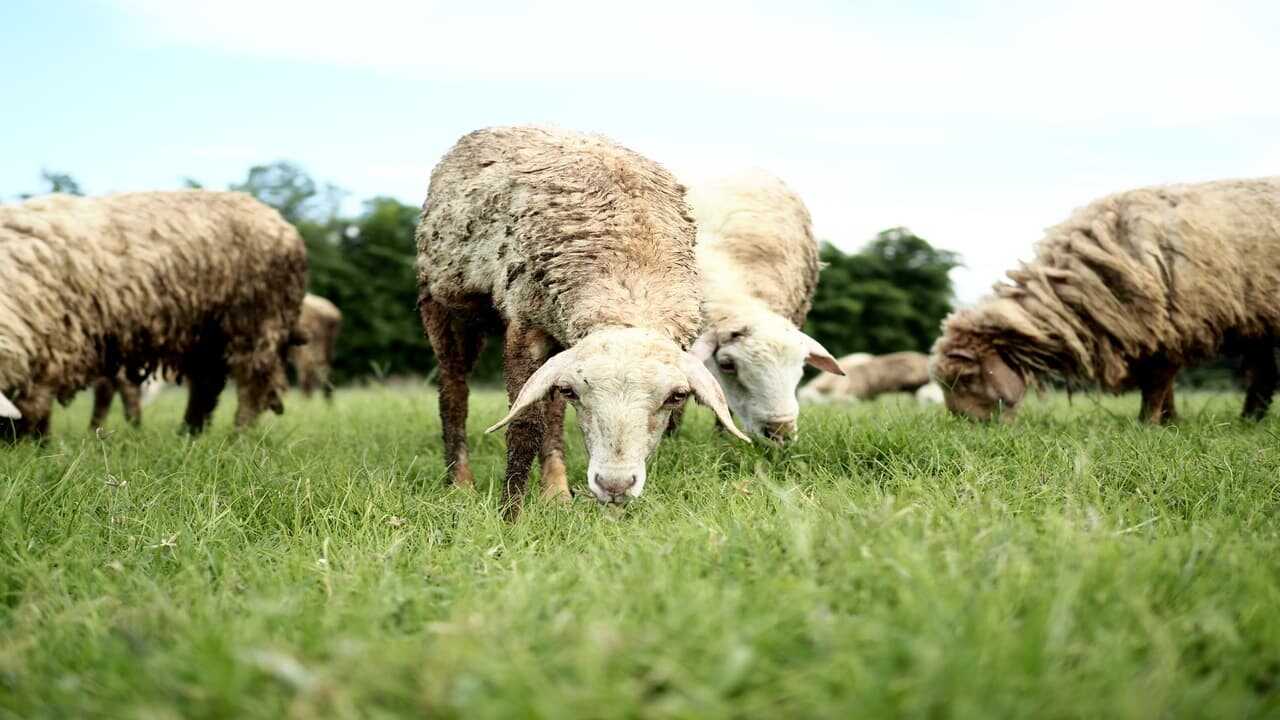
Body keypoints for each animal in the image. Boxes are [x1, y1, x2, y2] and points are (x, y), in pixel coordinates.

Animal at [0, 191, 307, 440]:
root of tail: (283, 223)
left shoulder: (55, 345)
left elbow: (35, 404)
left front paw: (35, 444)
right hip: (205, 334)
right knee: (206, 385)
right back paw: (189, 435)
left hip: (257, 321)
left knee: (251, 386)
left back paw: (238, 438)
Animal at [416, 126, 748, 514]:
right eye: (575, 390)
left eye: (677, 396)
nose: (614, 484)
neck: (630, 272)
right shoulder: (525, 323)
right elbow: (524, 424)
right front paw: (510, 511)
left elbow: (547, 413)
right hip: (442, 302)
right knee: (453, 391)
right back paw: (460, 483)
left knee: (552, 412)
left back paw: (556, 491)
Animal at [930, 177, 1280, 423]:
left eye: (965, 377)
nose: (971, 427)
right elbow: (1161, 385)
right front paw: (1170, 422)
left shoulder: (1168, 326)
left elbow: (1156, 383)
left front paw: (1148, 425)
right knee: (1263, 376)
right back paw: (1249, 421)